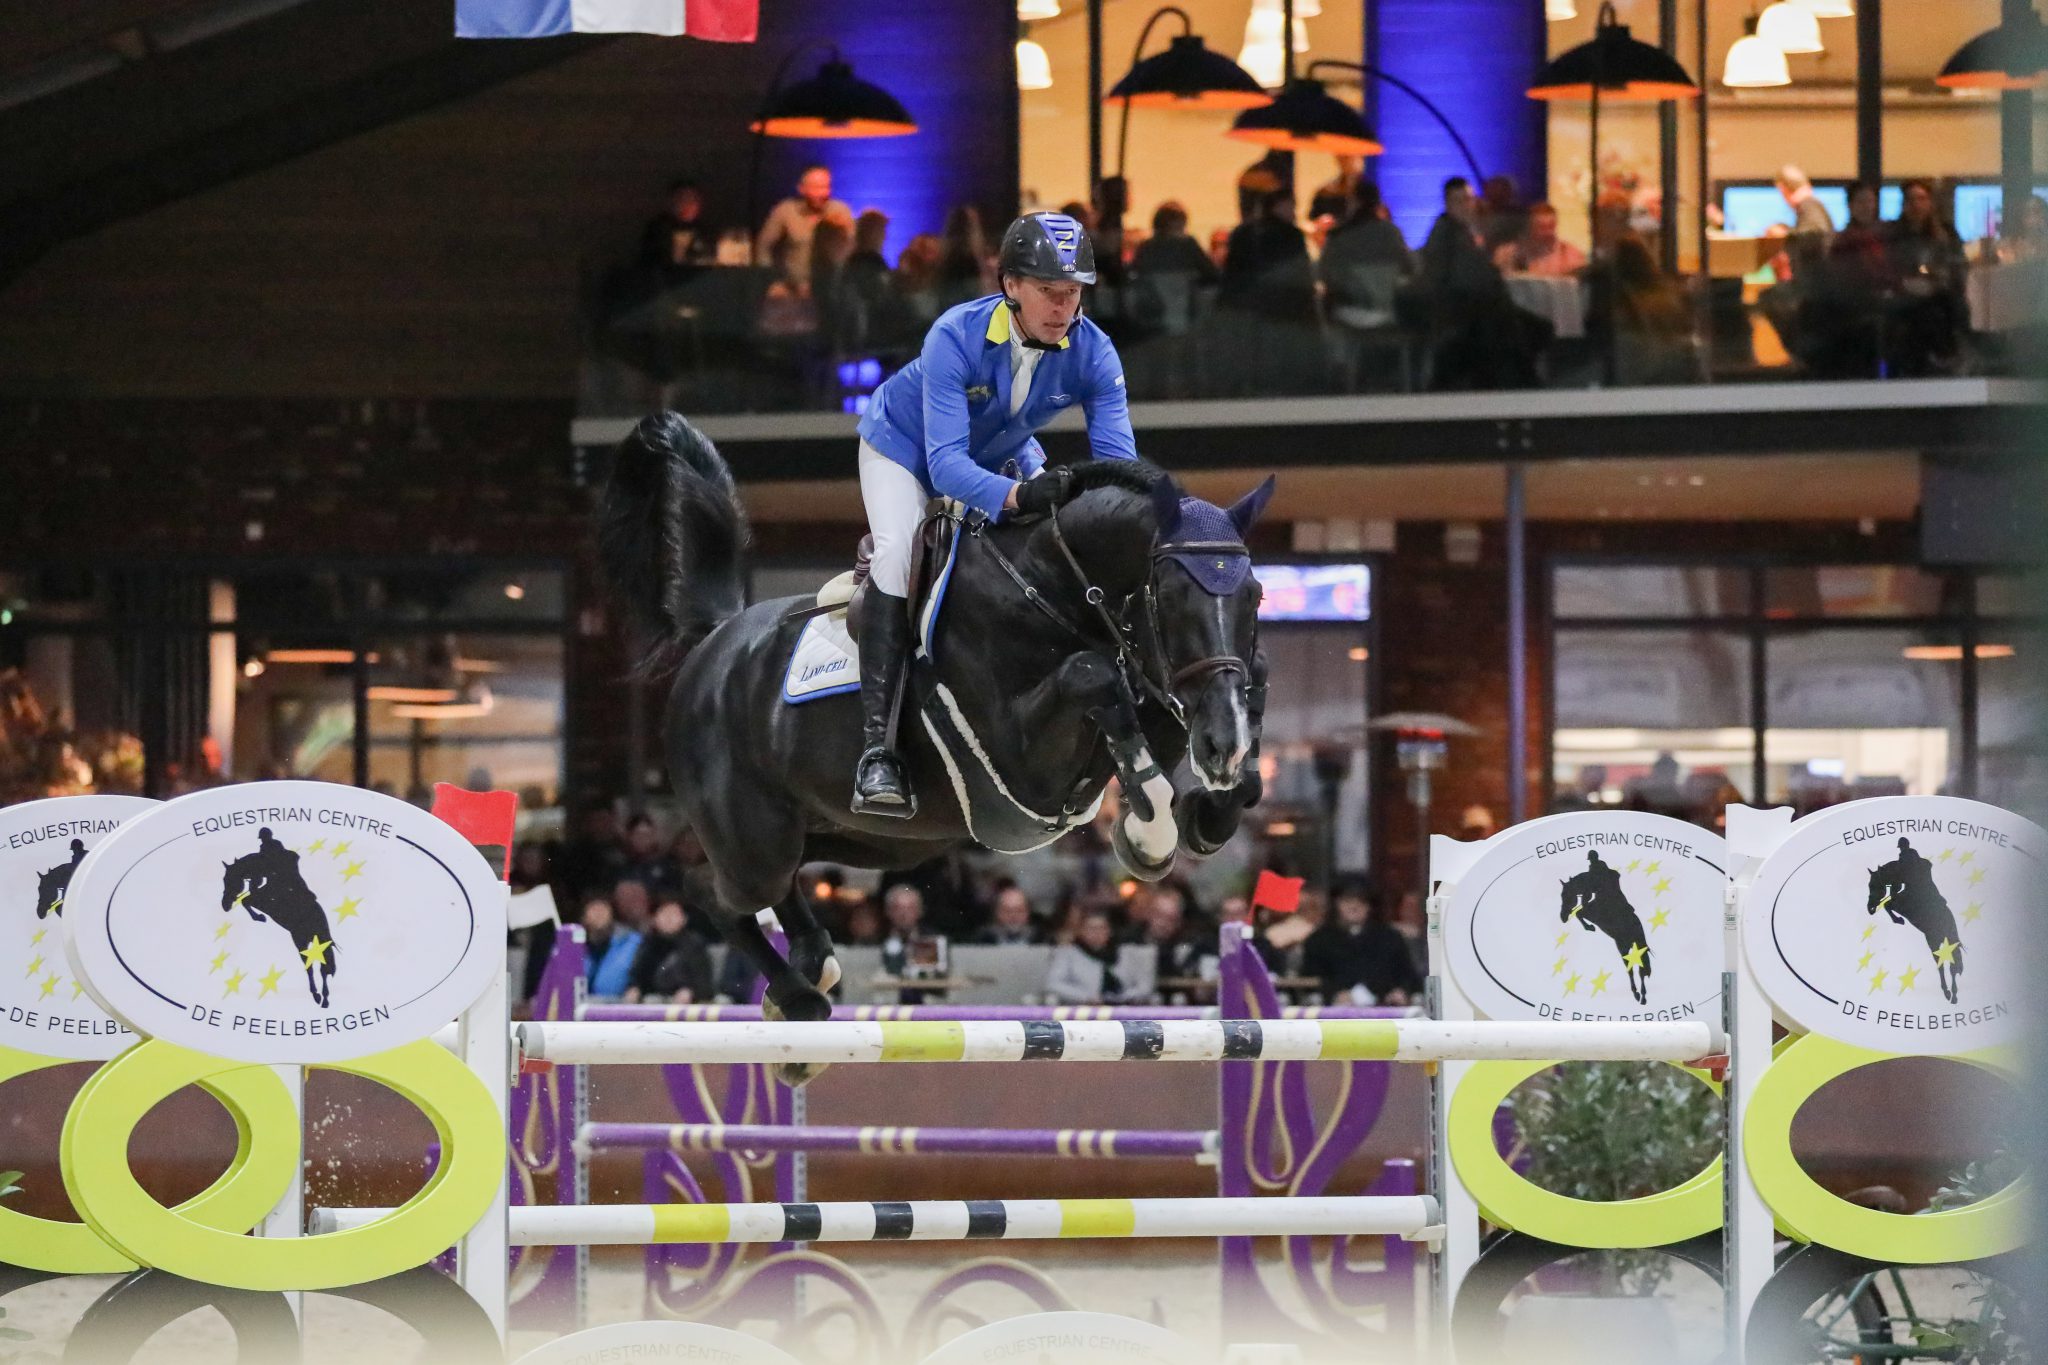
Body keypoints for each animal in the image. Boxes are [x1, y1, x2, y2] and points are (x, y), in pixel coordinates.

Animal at [220, 828, 340, 1009]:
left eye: (227, 879)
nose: (224, 905)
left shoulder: (263, 900)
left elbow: (245, 900)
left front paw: (260, 917)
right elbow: (246, 899)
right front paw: (259, 916)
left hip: (301, 940)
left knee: (313, 967)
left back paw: (318, 996)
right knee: (322, 967)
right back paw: (323, 998)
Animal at [597, 413, 1271, 1080]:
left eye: (1255, 595)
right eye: (1173, 593)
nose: (1221, 745)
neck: (1050, 586)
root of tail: (715, 644)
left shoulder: (1152, 693)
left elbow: (1204, 705)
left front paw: (1208, 807)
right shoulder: (1021, 766)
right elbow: (1093, 677)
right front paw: (1151, 831)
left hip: (863, 839)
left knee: (771, 888)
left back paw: (808, 975)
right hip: (754, 840)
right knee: (709, 890)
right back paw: (800, 1002)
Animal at [1560, 850, 1652, 1006]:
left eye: (1565, 896)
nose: (1562, 918)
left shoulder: (1591, 912)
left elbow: (1578, 913)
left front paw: (1590, 927)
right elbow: (1578, 912)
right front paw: (1589, 927)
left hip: (1624, 947)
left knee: (1634, 970)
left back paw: (1638, 994)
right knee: (1639, 969)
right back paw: (1642, 996)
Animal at [1867, 838, 1963, 1004]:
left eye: (1873, 885)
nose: (1869, 908)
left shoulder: (1900, 904)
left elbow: (1887, 905)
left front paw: (1899, 920)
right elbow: (1888, 903)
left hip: (1936, 942)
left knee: (1947, 966)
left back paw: (1949, 993)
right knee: (1949, 965)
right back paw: (1952, 994)